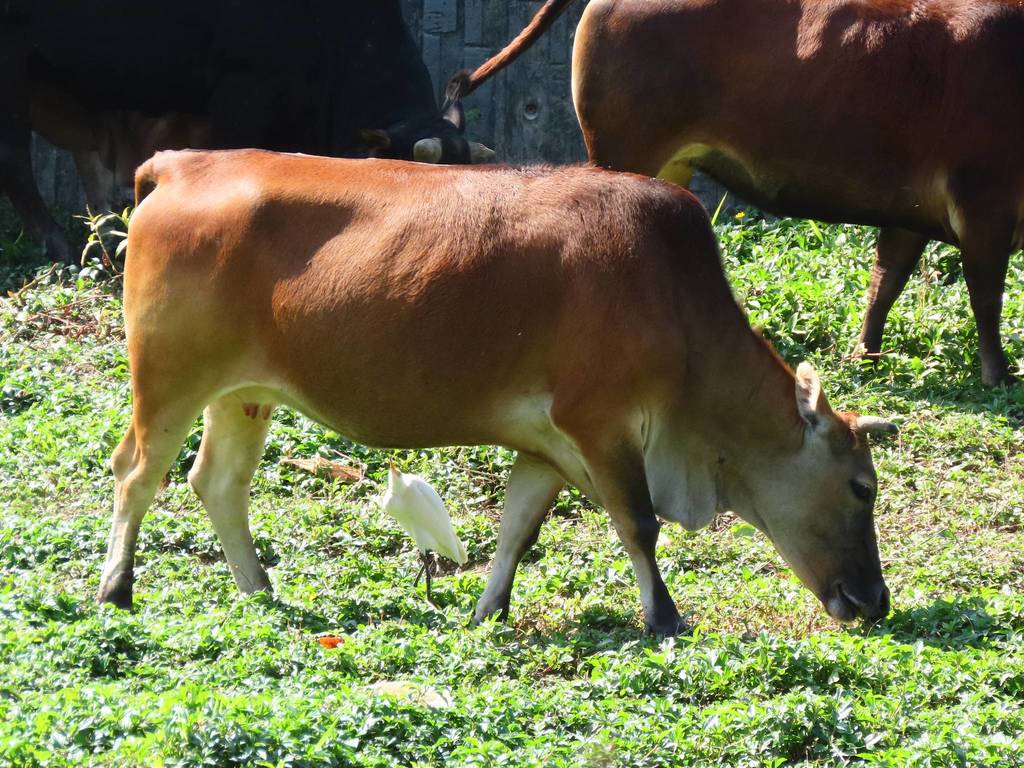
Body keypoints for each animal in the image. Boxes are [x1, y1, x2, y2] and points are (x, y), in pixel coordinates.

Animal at [96, 149, 896, 633]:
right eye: (861, 487)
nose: (876, 600)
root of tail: (184, 162)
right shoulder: (600, 423)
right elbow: (638, 524)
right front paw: (664, 616)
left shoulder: (545, 443)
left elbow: (518, 529)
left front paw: (489, 608)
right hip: (168, 378)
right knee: (136, 472)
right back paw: (116, 589)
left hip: (243, 392)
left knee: (217, 482)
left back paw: (261, 589)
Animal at [448, 0, 1024, 386]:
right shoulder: (986, 200)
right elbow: (985, 293)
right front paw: (999, 373)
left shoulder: (911, 210)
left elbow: (886, 280)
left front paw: (866, 353)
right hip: (623, 153)